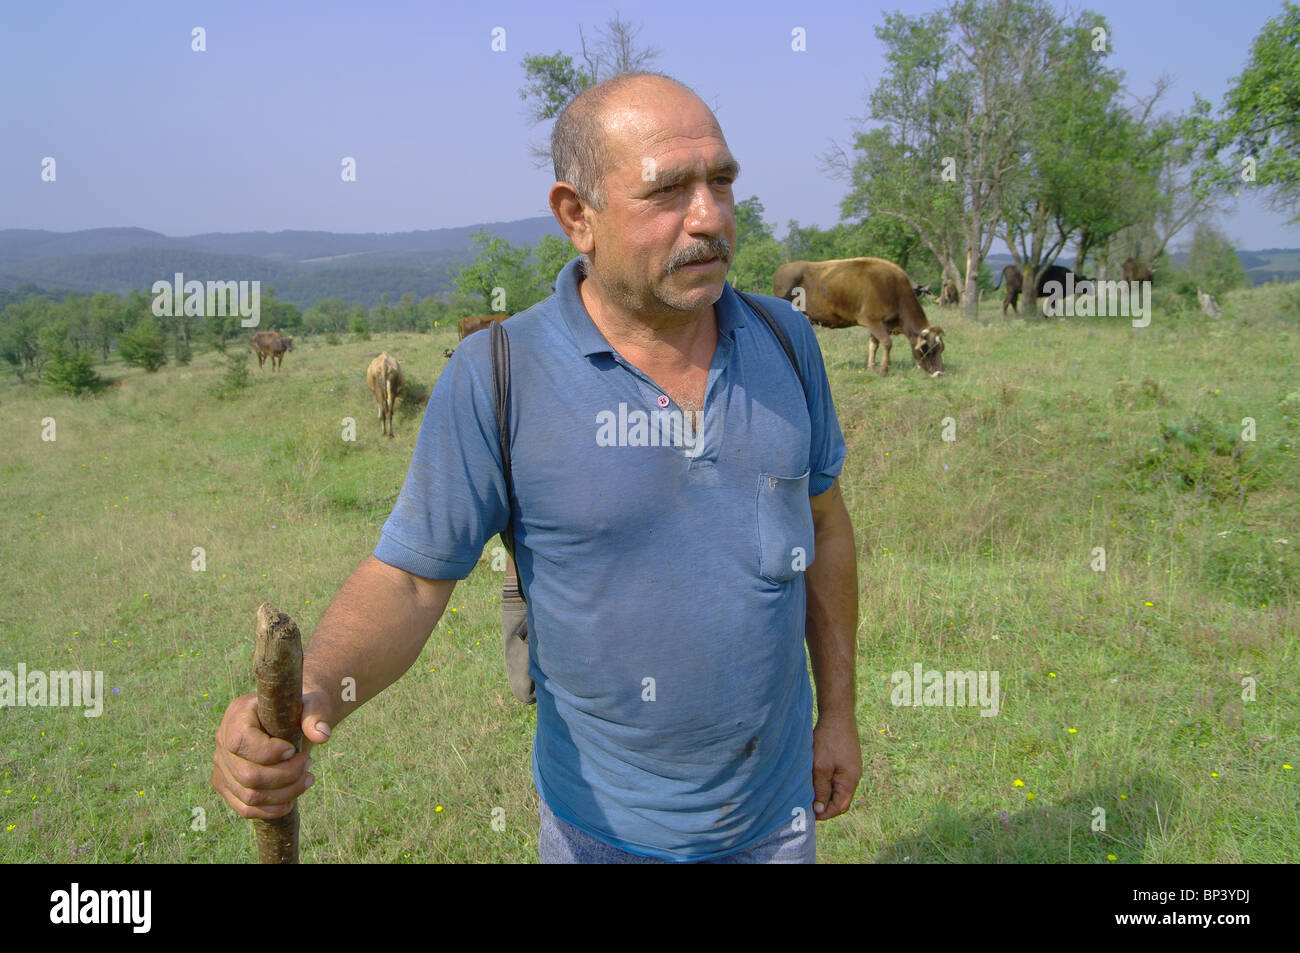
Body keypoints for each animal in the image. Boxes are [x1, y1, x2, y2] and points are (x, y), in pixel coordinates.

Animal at [772, 257, 945, 376]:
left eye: (941, 348)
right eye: (927, 347)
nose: (939, 373)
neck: (895, 290)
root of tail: (783, 268)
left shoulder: (880, 325)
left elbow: (874, 345)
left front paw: (871, 367)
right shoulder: (872, 320)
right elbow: (887, 343)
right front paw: (884, 369)